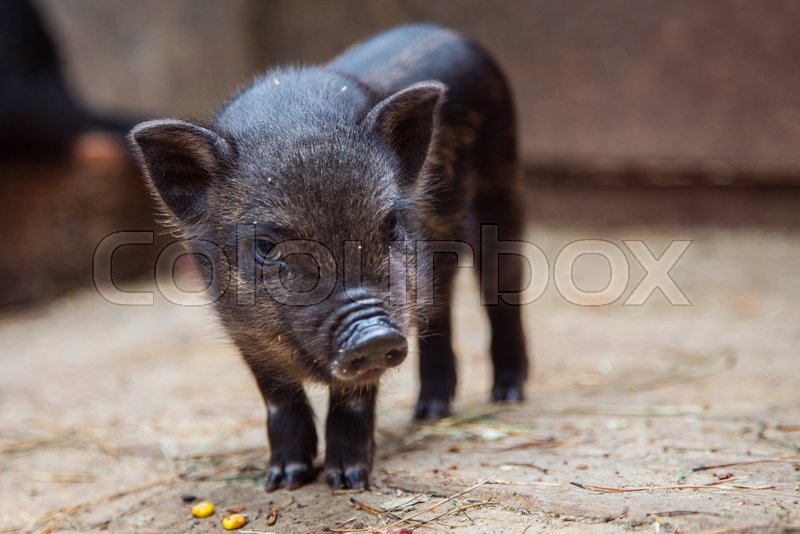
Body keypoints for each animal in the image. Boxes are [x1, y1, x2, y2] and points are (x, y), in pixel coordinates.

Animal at [129, 24, 528, 491]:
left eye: (392, 224)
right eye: (266, 246)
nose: (373, 335)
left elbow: (354, 397)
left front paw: (346, 480)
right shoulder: (242, 330)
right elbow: (278, 398)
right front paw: (284, 480)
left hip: (504, 186)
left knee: (501, 292)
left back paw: (508, 397)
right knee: (440, 308)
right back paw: (427, 413)